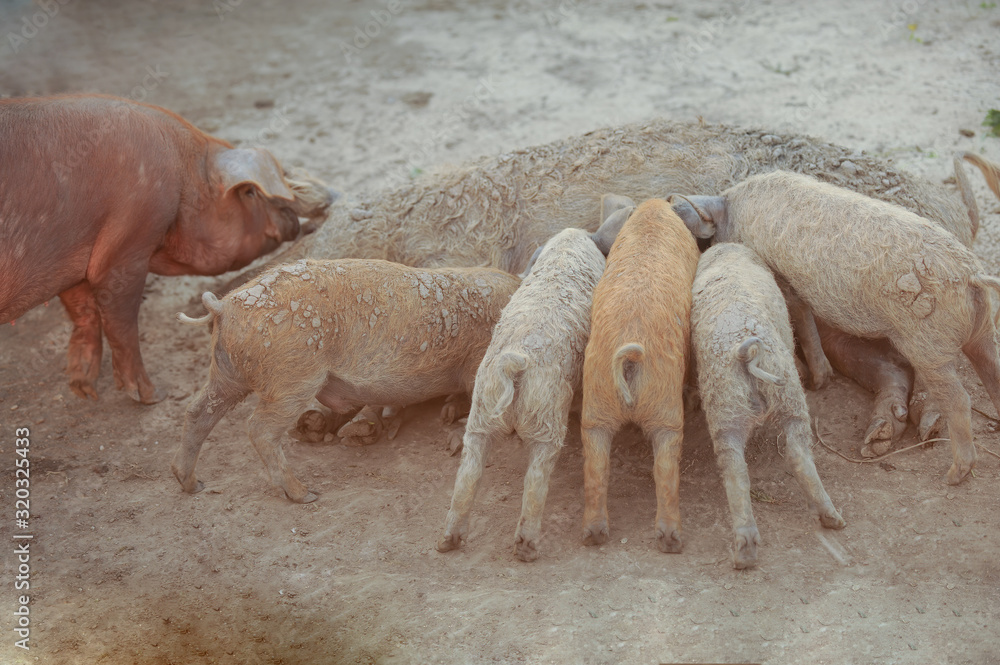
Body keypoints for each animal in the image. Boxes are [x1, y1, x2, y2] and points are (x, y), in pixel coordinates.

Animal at [0, 94, 336, 403]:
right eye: (251, 193)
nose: (330, 195)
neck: (184, 175)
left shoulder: (72, 265)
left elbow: (83, 313)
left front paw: (83, 390)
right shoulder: (127, 248)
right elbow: (121, 322)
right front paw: (151, 396)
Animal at [172, 259, 520, 503]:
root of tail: (224, 305)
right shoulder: (476, 363)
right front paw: (453, 435)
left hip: (225, 373)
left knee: (197, 411)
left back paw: (192, 484)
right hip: (292, 378)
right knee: (259, 429)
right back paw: (306, 494)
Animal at [581, 199, 701, 552]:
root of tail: (629, 355)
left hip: (595, 402)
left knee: (595, 467)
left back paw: (594, 535)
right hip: (666, 410)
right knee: (666, 469)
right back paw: (671, 540)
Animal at [670, 170, 1000, 485]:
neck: (734, 208)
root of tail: (971, 276)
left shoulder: (783, 276)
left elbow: (801, 317)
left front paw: (817, 383)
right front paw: (821, 380)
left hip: (926, 342)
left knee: (959, 399)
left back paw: (953, 476)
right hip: (983, 331)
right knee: (992, 372)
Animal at [691, 243, 846, 569]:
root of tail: (746, 357)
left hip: (728, 410)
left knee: (737, 473)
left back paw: (746, 550)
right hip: (787, 399)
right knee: (797, 455)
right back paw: (829, 516)